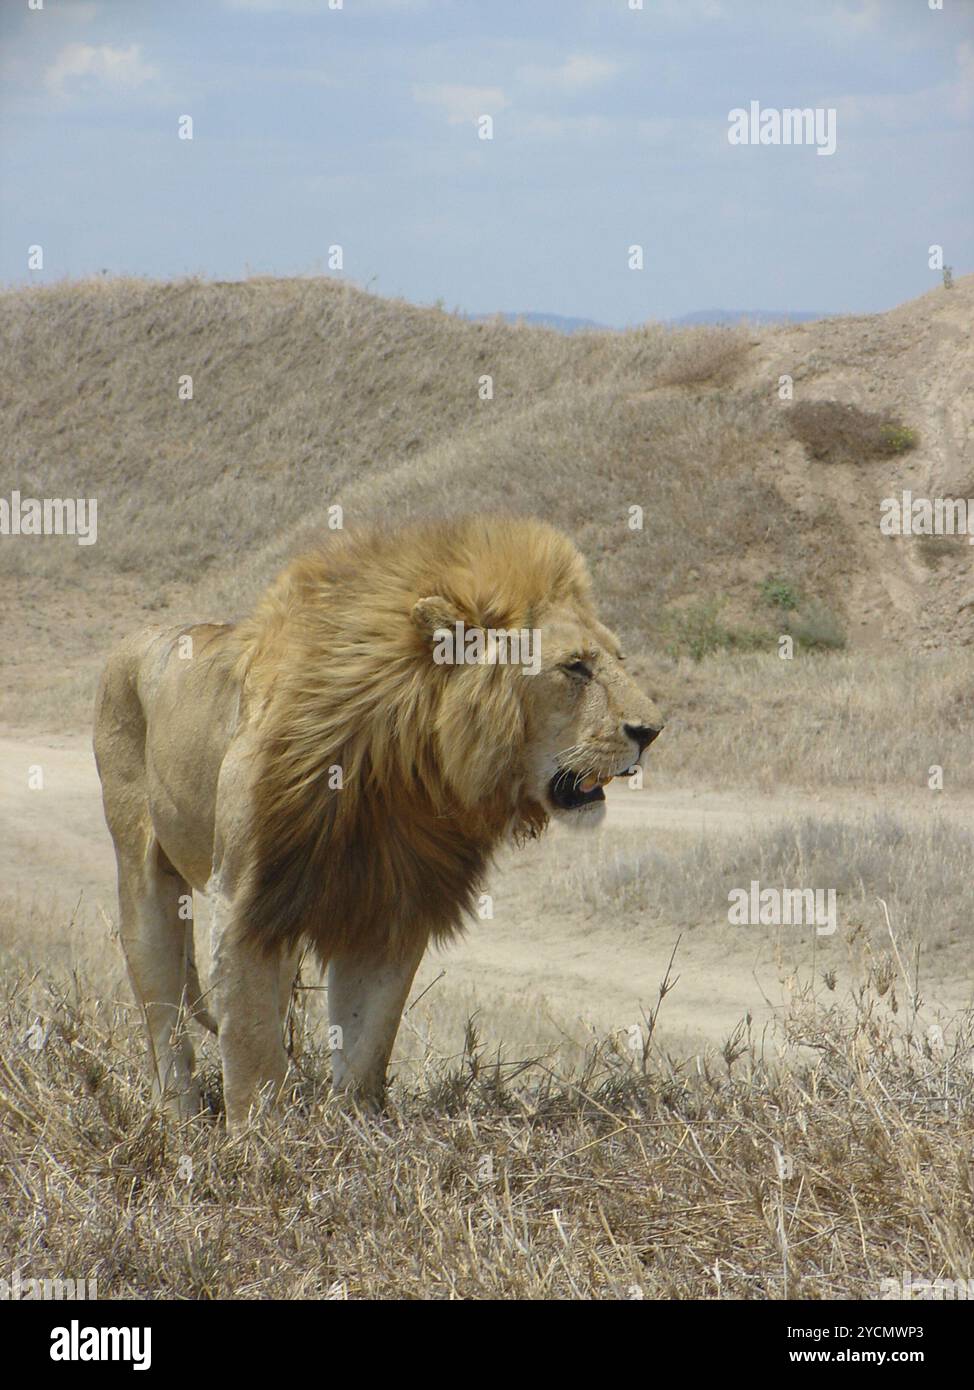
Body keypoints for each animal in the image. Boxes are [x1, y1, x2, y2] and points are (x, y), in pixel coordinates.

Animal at [93, 516, 663, 1128]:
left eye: (618, 659)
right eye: (575, 667)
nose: (652, 731)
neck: (403, 761)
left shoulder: (389, 905)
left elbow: (366, 1041)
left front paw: (355, 1131)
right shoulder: (247, 897)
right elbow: (250, 1048)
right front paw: (258, 1142)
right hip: (142, 871)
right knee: (163, 1016)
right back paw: (179, 1120)